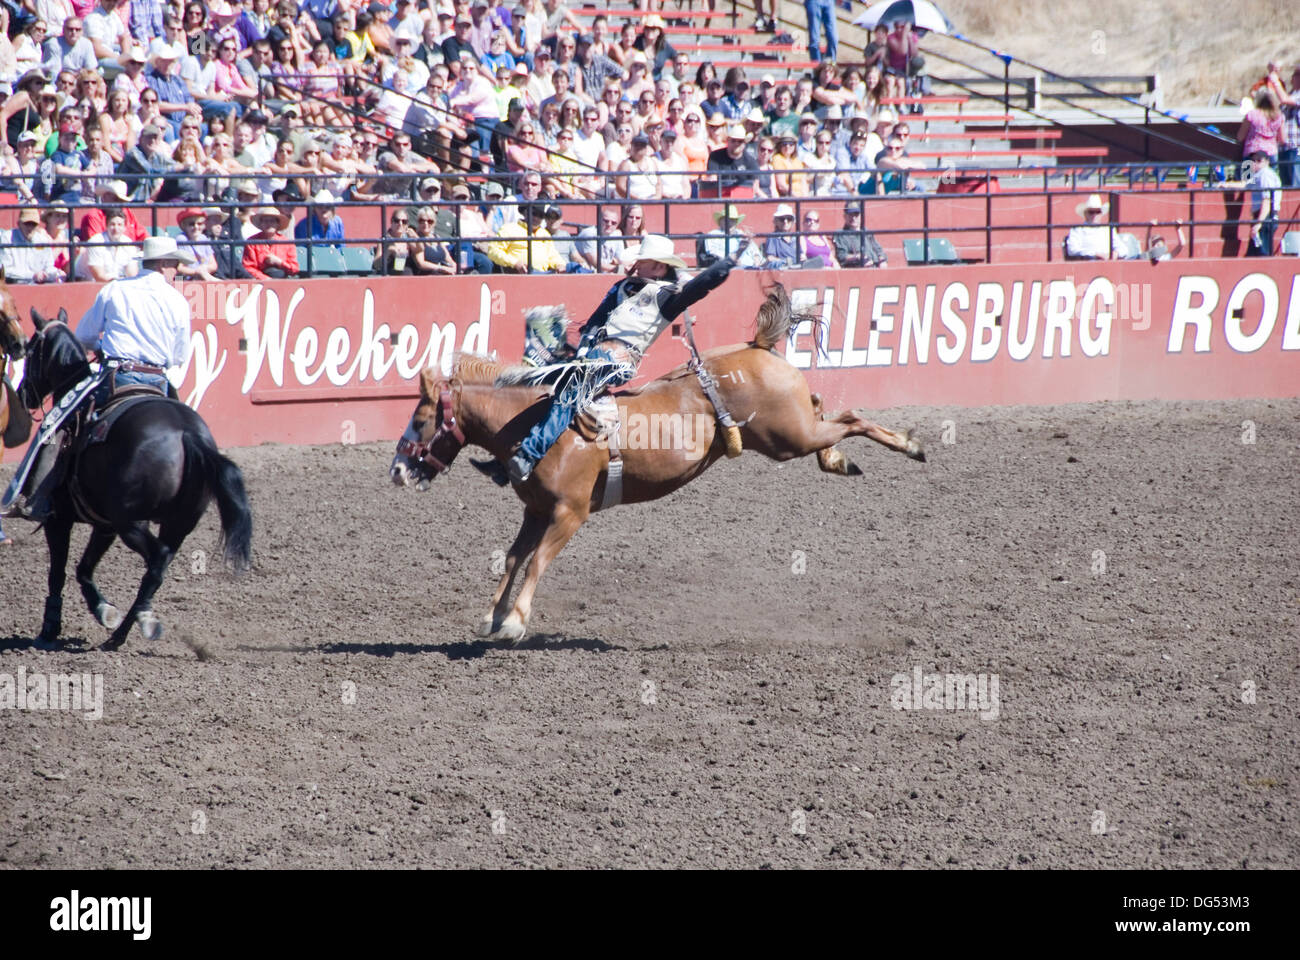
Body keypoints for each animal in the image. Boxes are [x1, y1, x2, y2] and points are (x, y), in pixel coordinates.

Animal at [15, 308, 253, 650]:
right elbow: (84, 568)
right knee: (156, 569)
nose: (22, 394)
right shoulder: (104, 525)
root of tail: (188, 434)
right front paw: (103, 610)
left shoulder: (59, 519)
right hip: (175, 524)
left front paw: (50, 628)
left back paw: (130, 627)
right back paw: (125, 630)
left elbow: (58, 572)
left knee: (157, 559)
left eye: (30, 350)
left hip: (131, 523)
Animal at [390, 283, 925, 643]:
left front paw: (515, 623)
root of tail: (756, 347)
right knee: (824, 410)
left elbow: (538, 559)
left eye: (420, 420)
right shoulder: (536, 510)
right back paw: (841, 459)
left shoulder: (569, 513)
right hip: (787, 434)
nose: (396, 470)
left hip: (788, 436)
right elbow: (513, 555)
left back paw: (906, 446)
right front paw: (493, 616)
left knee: (849, 418)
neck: (537, 425)